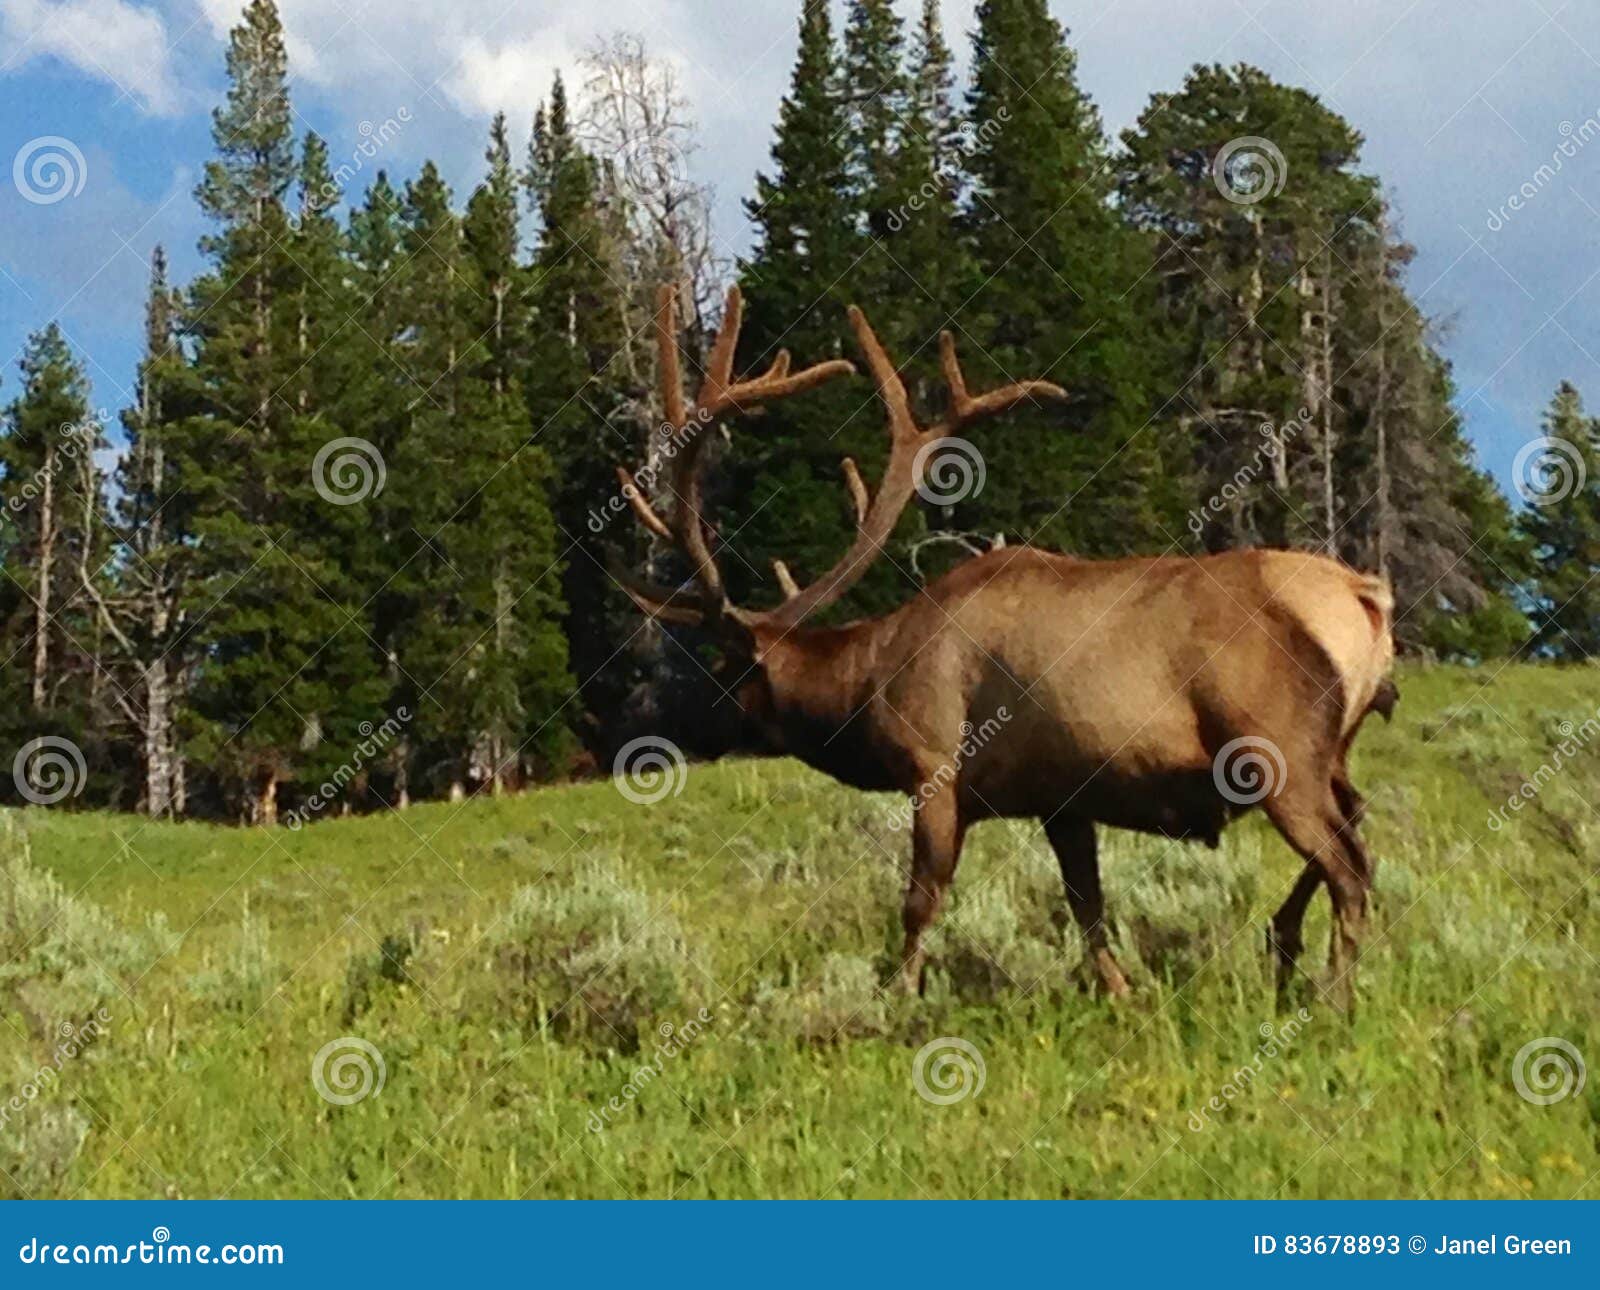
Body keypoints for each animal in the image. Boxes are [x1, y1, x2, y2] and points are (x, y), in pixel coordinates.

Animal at [610, 284, 1397, 1010]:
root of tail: (1366, 599)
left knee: (1350, 867)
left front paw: (898, 998)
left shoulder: (933, 766)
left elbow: (921, 901)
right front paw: (1120, 991)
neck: (869, 683)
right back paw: (1284, 948)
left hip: (1275, 749)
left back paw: (1331, 998)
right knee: (1358, 829)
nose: (658, 727)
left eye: (720, 672)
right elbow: (1087, 907)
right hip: (1333, 750)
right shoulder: (1062, 798)